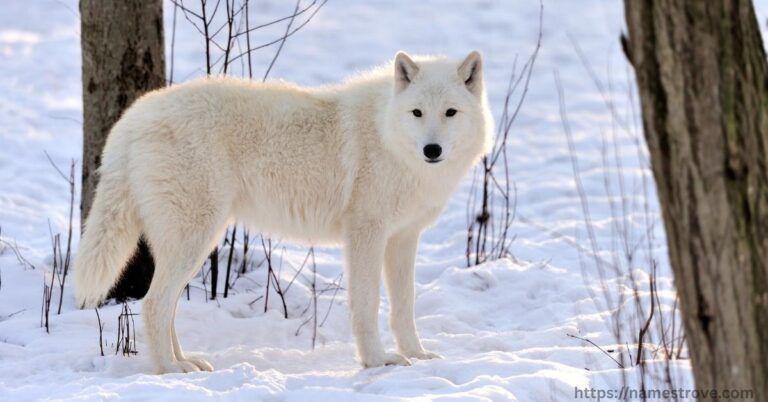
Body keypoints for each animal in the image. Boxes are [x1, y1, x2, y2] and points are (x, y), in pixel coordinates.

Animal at [73, 51, 494, 374]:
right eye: (417, 113)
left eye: (450, 113)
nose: (432, 150)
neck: (387, 134)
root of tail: (132, 119)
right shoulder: (366, 234)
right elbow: (367, 304)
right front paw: (377, 362)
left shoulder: (403, 239)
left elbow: (405, 306)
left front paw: (416, 355)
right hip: (196, 239)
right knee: (153, 304)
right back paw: (170, 371)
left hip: (193, 242)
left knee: (165, 307)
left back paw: (185, 362)